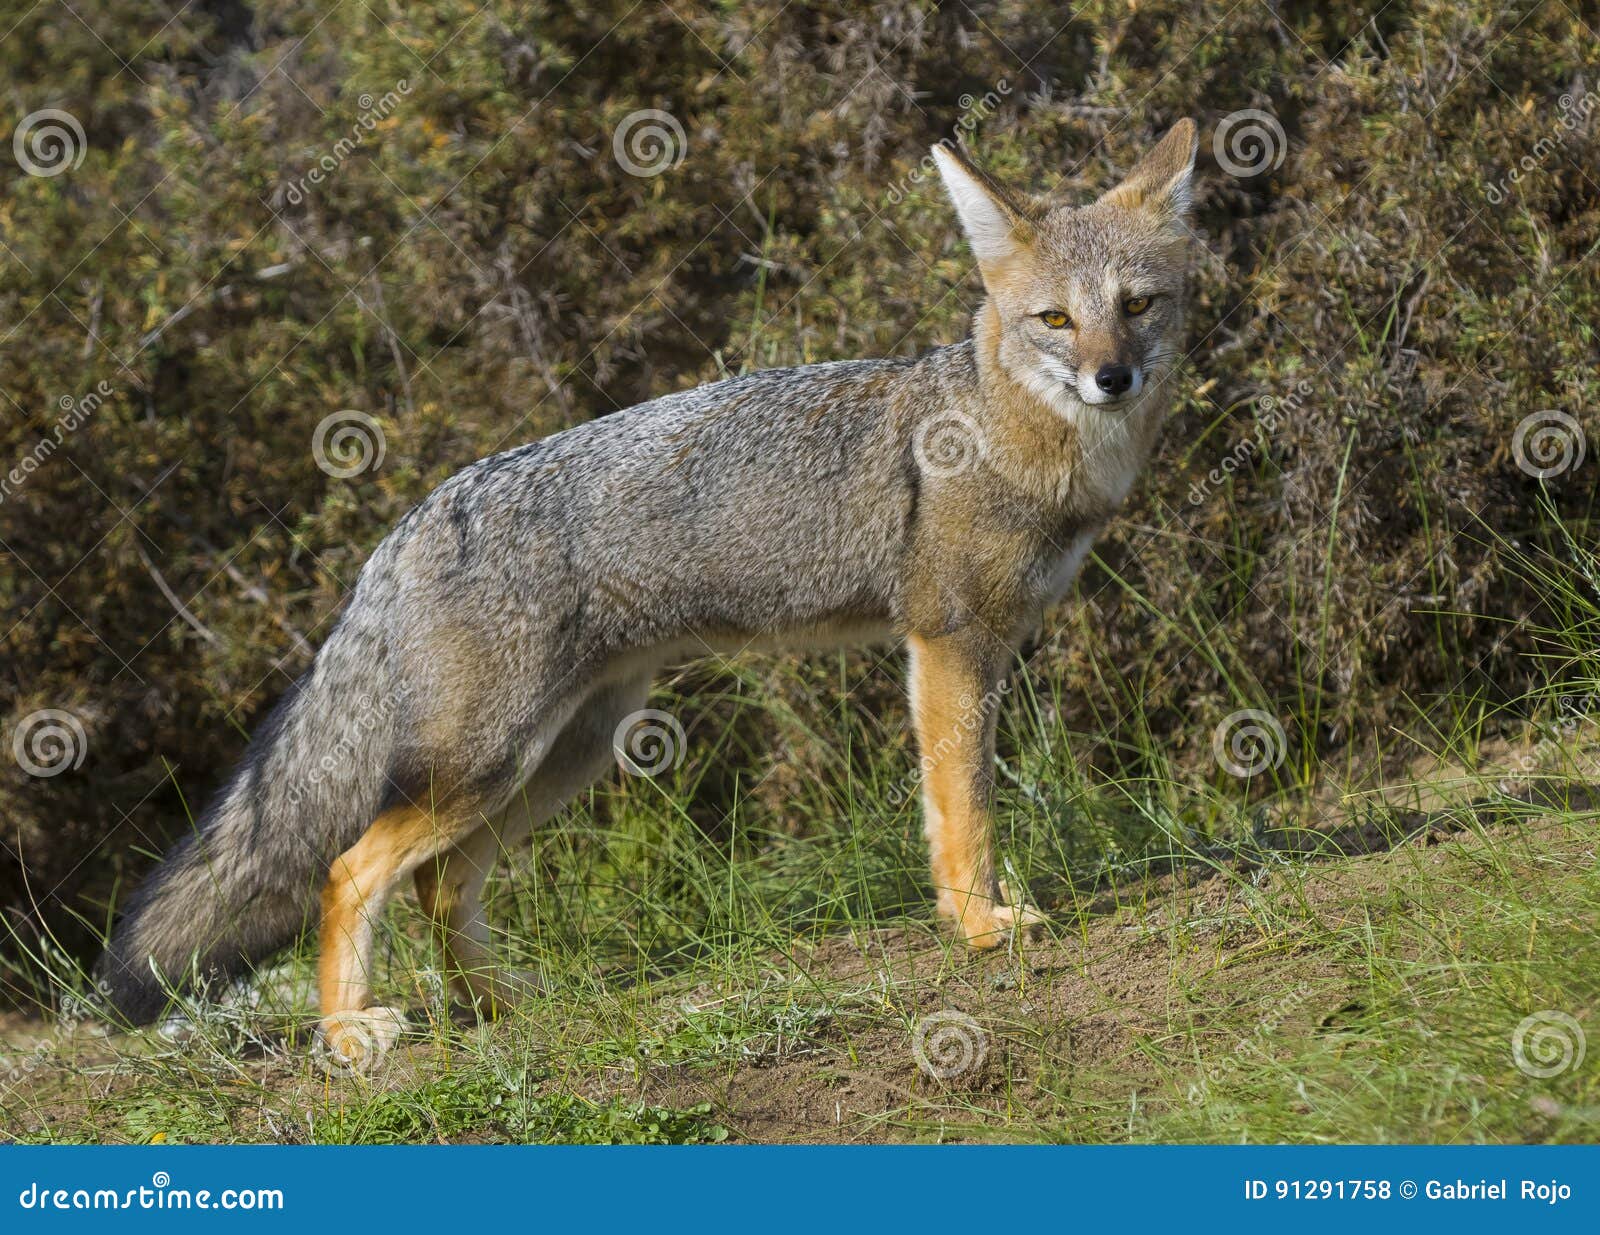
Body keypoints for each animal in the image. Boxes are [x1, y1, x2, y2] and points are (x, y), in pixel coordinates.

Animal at [96, 120, 1200, 1064]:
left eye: (1137, 305)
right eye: (1054, 319)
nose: (1111, 378)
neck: (1011, 433)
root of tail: (412, 522)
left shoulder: (990, 646)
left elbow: (961, 800)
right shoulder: (947, 643)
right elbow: (962, 809)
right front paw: (978, 923)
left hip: (561, 757)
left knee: (439, 885)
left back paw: (496, 1001)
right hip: (490, 762)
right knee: (348, 870)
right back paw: (348, 1032)